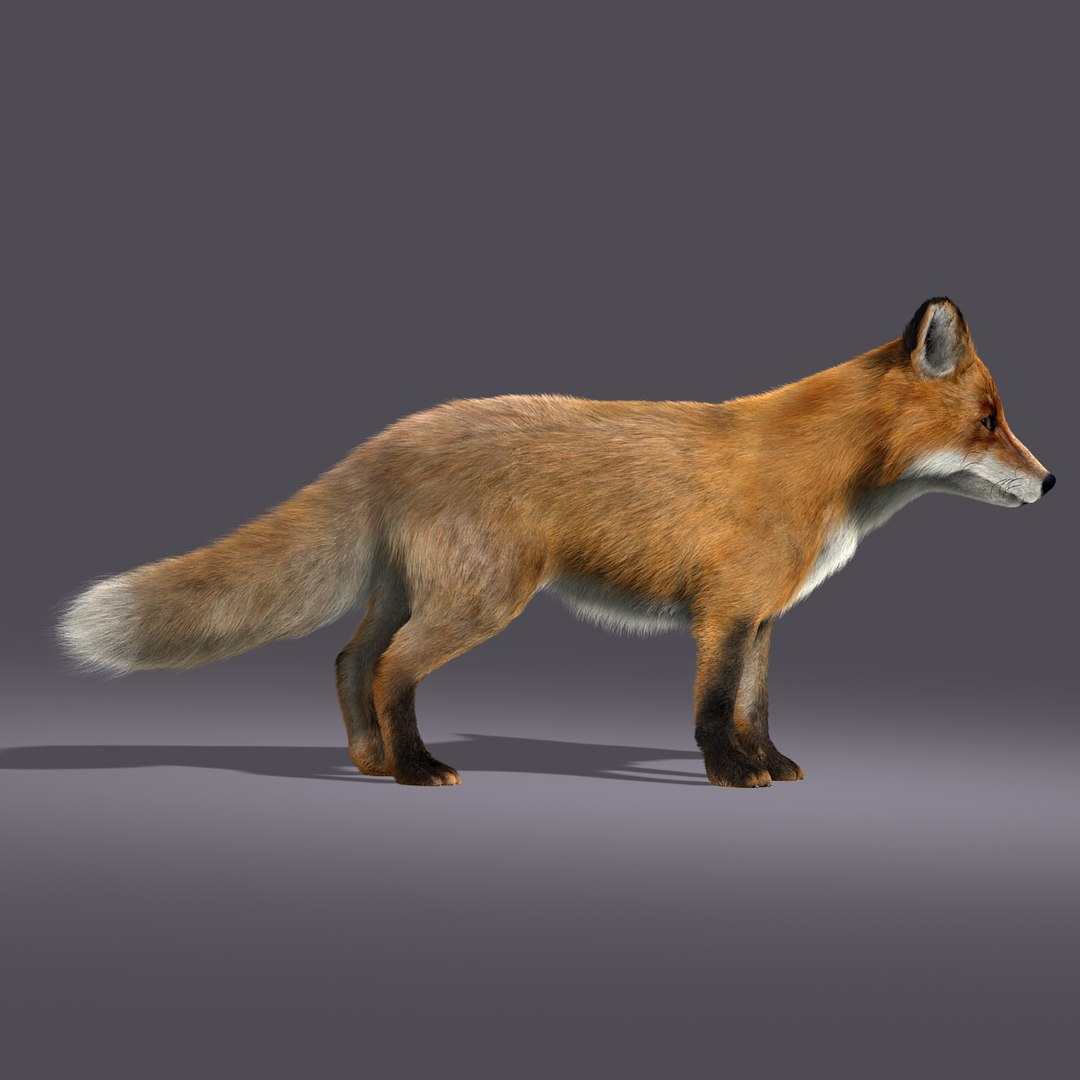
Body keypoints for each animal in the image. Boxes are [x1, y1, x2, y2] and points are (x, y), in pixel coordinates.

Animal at [59, 297, 1055, 788]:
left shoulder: (763, 618)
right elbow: (712, 711)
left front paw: (770, 763)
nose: (1051, 483)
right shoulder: (724, 614)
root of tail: (389, 437)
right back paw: (414, 770)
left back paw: (371, 761)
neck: (825, 470)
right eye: (990, 421)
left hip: (410, 593)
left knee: (349, 661)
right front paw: (731, 776)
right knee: (389, 671)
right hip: (478, 603)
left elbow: (757, 708)